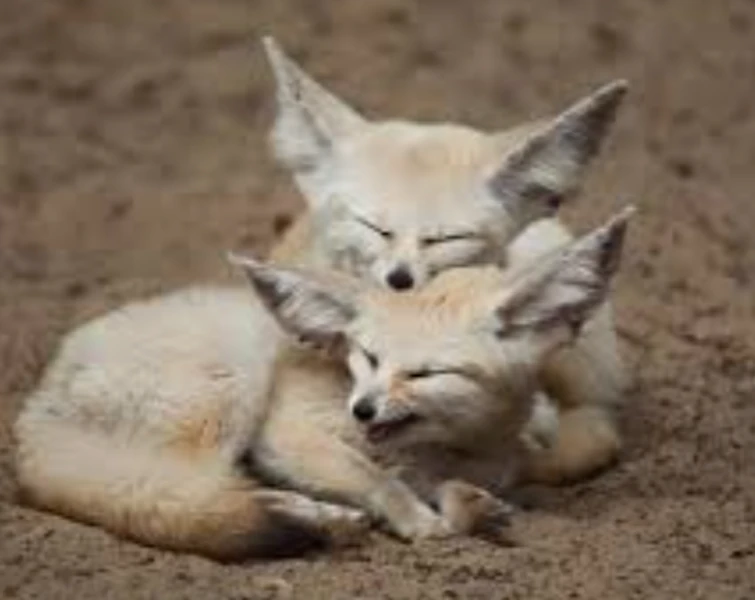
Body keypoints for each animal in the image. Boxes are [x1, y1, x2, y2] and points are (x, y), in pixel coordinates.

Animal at [14, 209, 632, 561]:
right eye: (369, 357)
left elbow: (451, 483)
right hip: (230, 393)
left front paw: (470, 508)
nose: (363, 409)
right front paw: (419, 522)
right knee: (199, 492)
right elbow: (376, 480)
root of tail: (36, 404)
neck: (459, 442)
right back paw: (315, 519)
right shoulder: (289, 436)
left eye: (425, 374)